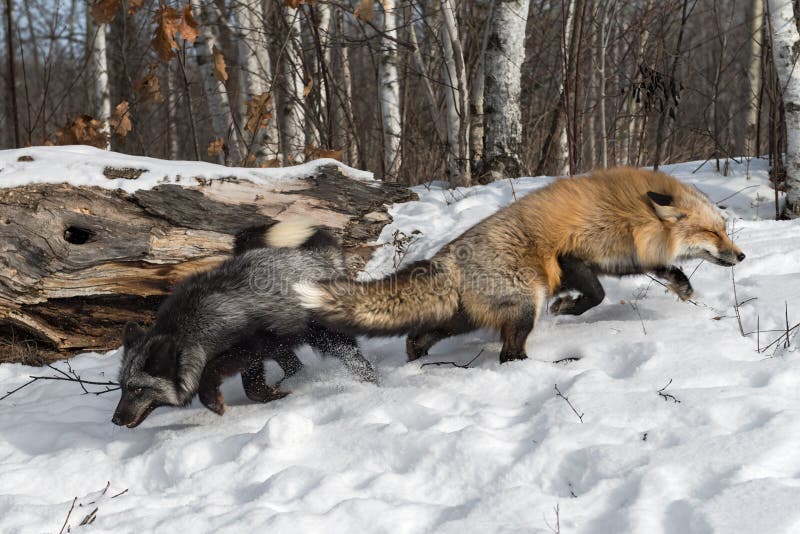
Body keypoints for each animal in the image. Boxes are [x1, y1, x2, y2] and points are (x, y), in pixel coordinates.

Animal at [112, 219, 377, 428]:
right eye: (123, 387)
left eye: (138, 389)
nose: (115, 420)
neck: (192, 327)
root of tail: (318, 257)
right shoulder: (256, 356)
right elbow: (254, 390)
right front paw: (276, 395)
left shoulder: (249, 345)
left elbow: (213, 372)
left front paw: (214, 403)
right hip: (284, 345)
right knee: (296, 367)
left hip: (324, 338)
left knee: (358, 362)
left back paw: (371, 384)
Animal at [294, 167, 745, 364]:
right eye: (713, 233)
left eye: (724, 230)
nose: (741, 256)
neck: (630, 214)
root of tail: (445, 259)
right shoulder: (573, 257)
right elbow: (595, 296)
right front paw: (567, 307)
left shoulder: (623, 258)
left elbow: (667, 271)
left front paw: (684, 288)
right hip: (525, 305)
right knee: (508, 353)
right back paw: (528, 369)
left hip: (461, 319)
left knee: (418, 336)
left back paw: (417, 362)